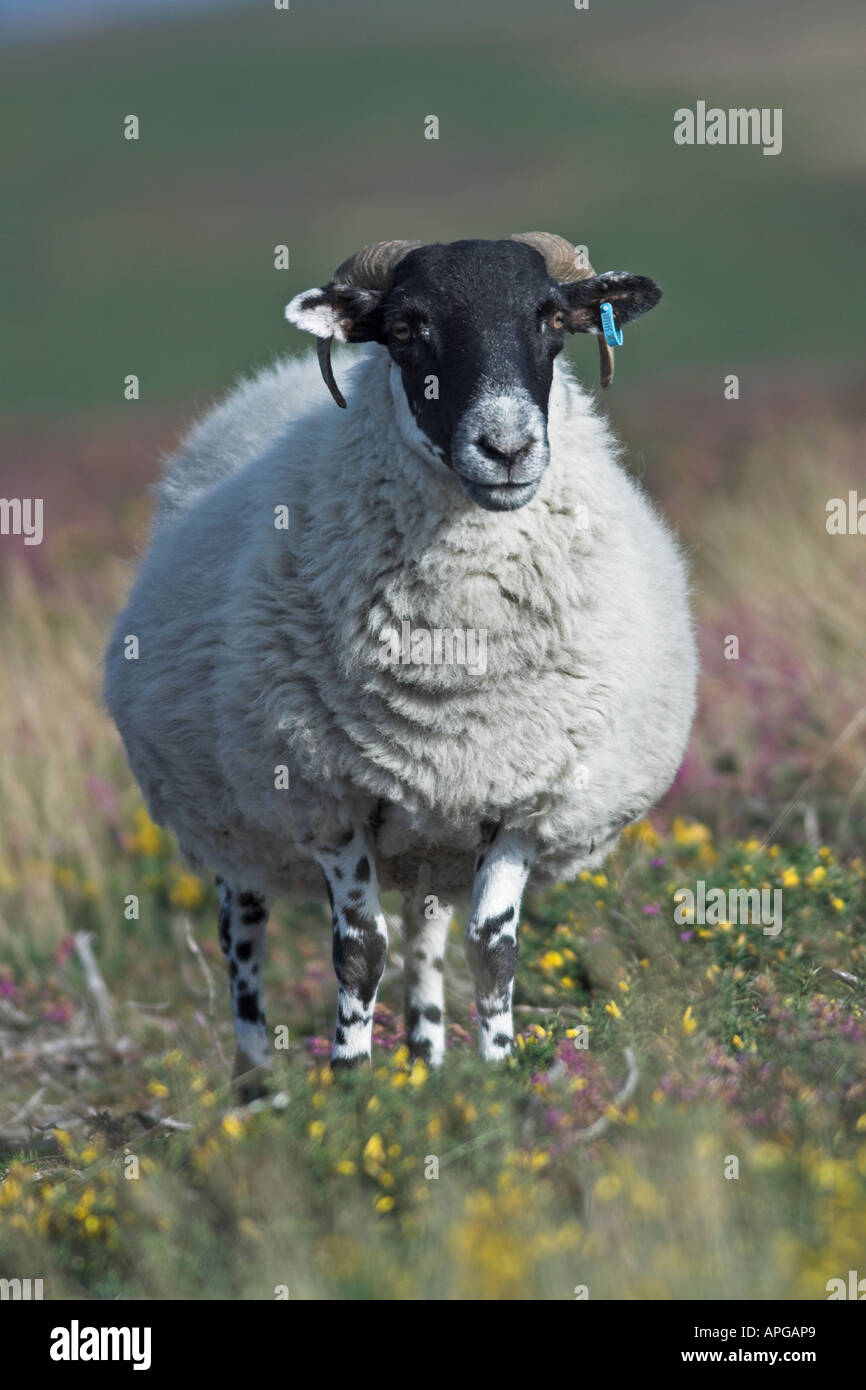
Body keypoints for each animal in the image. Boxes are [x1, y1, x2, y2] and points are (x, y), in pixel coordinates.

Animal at [104, 232, 697, 1088]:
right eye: (409, 327)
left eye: (552, 317)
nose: (507, 448)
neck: (457, 665)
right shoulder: (327, 798)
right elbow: (357, 951)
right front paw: (352, 1082)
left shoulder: (525, 797)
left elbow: (492, 950)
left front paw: (497, 1075)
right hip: (235, 826)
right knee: (242, 945)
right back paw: (258, 1093)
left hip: (431, 841)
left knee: (425, 937)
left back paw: (425, 1063)